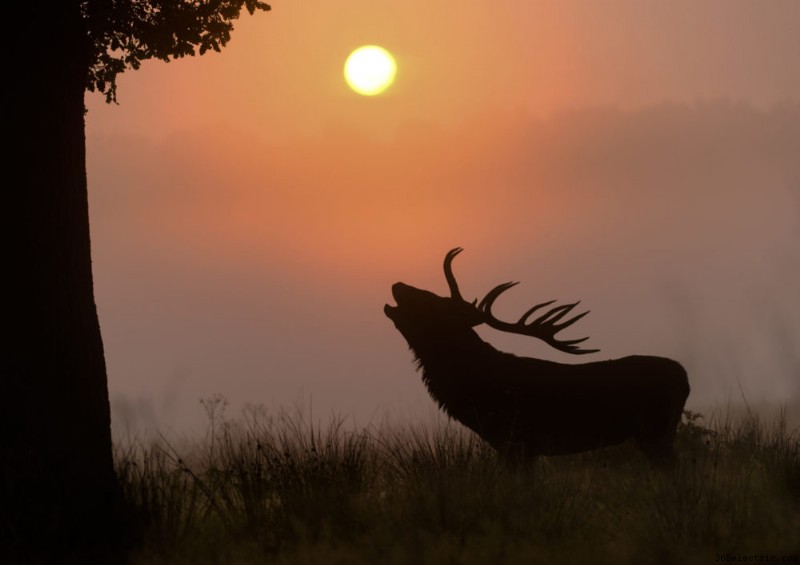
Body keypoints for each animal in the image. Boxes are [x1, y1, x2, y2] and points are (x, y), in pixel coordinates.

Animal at [384, 247, 692, 462]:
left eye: (432, 303)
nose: (398, 284)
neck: (476, 392)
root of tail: (685, 377)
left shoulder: (516, 440)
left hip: (656, 430)